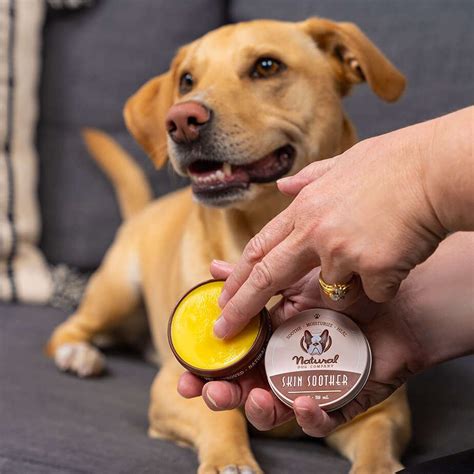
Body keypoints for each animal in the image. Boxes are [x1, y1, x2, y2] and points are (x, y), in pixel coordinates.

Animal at [47, 18, 412, 474]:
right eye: (187, 80)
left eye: (267, 66)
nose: (181, 119)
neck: (254, 231)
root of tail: (144, 211)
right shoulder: (172, 387)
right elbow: (219, 417)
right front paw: (230, 459)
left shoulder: (384, 408)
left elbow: (376, 446)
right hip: (116, 291)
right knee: (68, 329)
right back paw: (77, 354)